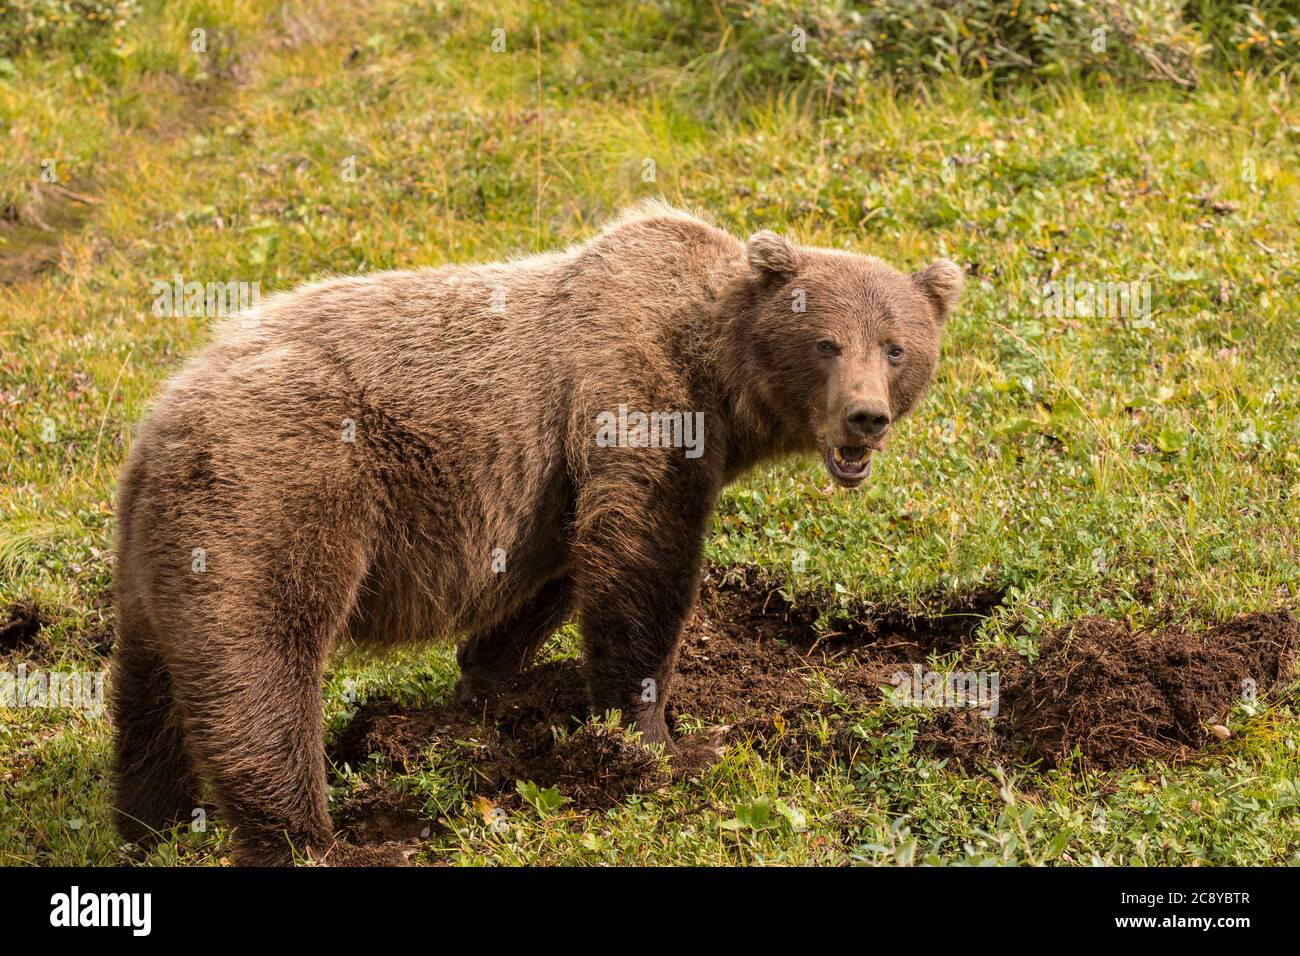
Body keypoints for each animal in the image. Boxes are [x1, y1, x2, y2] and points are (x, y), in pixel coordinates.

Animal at [110, 202, 963, 864]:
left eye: (896, 345)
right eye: (827, 343)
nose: (865, 416)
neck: (721, 374)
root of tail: (158, 422)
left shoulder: (559, 481)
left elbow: (565, 564)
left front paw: (490, 679)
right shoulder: (637, 396)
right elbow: (642, 560)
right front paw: (666, 744)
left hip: (162, 547)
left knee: (151, 692)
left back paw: (149, 824)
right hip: (279, 491)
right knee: (263, 665)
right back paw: (313, 835)